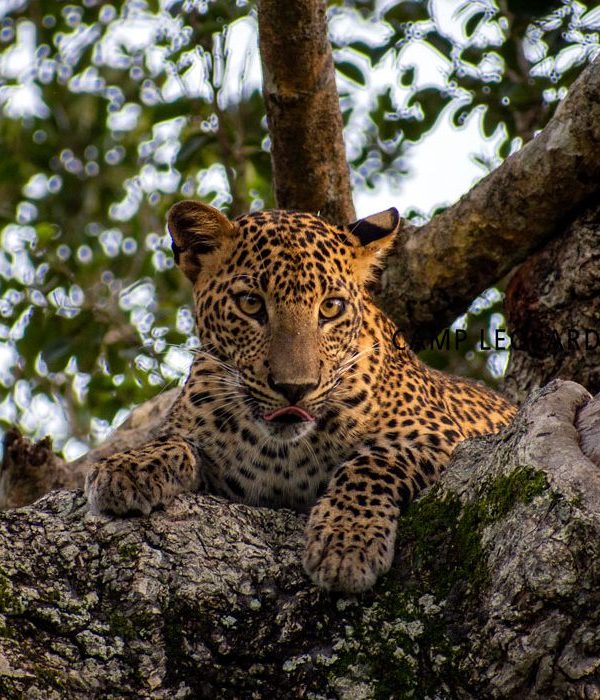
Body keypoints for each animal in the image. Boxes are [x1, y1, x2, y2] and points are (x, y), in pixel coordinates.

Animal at [85, 200, 516, 593]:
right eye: (251, 304)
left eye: (331, 307)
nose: (295, 387)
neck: (282, 454)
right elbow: (175, 439)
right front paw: (129, 466)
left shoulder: (439, 435)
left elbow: (371, 463)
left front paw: (347, 543)